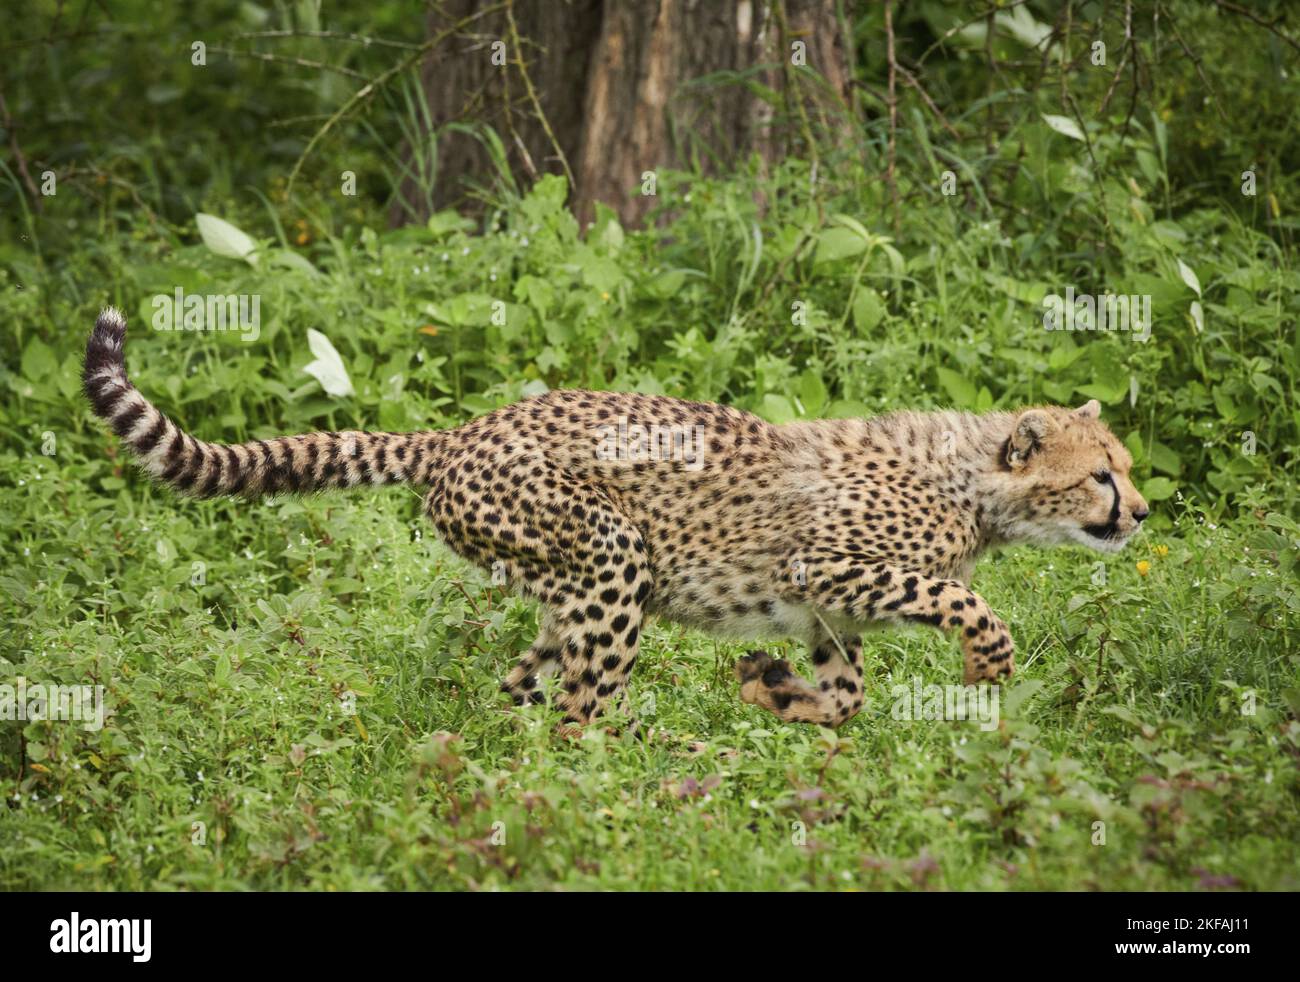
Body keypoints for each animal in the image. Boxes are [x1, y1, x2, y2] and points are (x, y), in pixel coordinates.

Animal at [84, 307, 1149, 729]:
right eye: (1101, 475)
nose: (1140, 511)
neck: (973, 485)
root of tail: (468, 427)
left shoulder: (825, 612)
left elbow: (844, 694)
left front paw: (773, 691)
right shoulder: (824, 568)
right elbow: (963, 602)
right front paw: (987, 663)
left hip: (563, 591)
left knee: (520, 689)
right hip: (612, 555)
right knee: (580, 712)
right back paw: (608, 785)